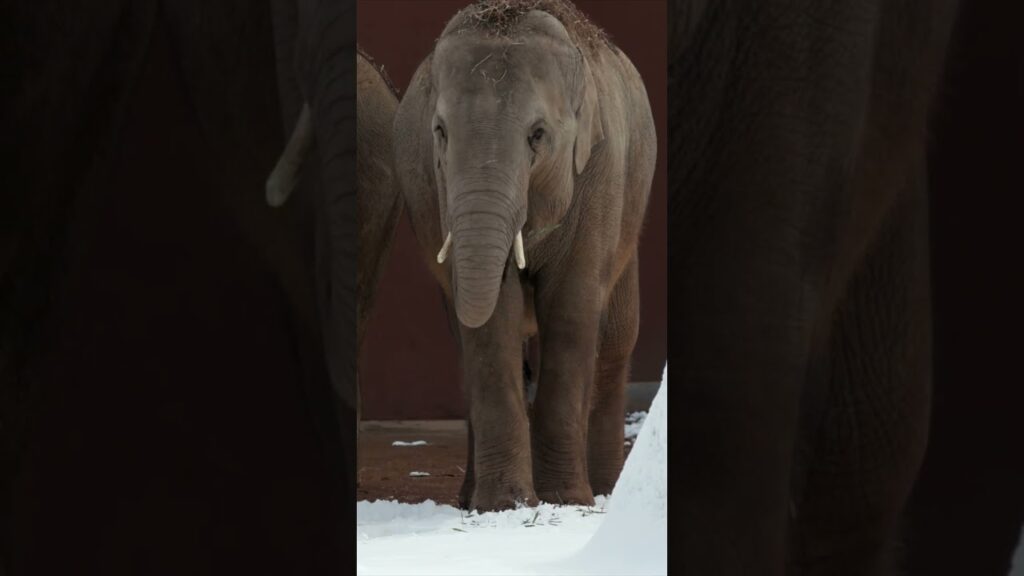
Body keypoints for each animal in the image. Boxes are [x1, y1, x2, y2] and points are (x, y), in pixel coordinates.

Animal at [392, 0, 656, 511]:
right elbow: (494, 325)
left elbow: (571, 310)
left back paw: (606, 492)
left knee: (617, 340)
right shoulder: (441, 190)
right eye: (439, 132)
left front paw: (566, 502)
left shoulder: (600, 173)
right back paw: (469, 499)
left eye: (538, 135)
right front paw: (505, 506)